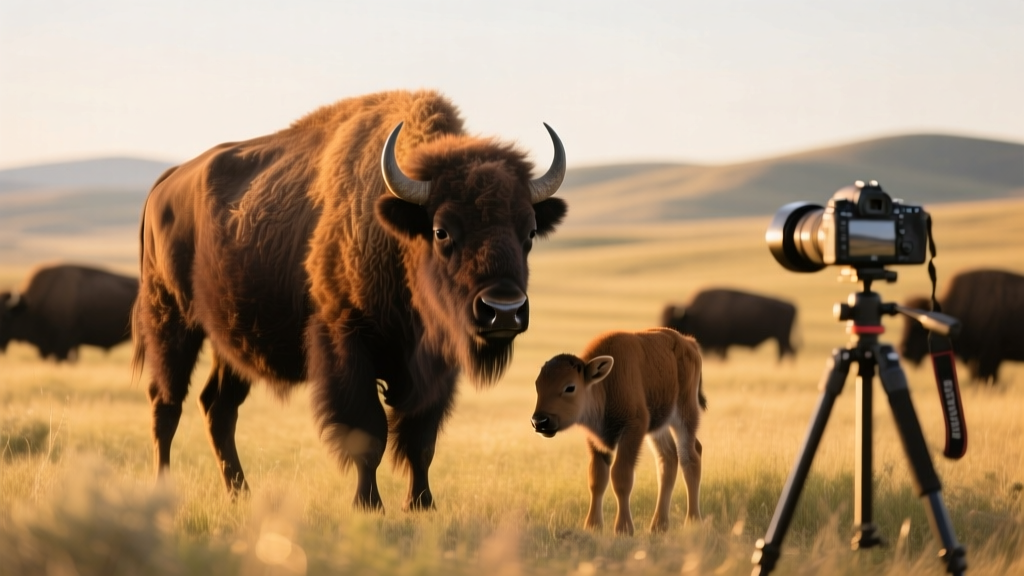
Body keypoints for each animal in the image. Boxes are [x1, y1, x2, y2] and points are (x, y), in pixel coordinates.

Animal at [132, 90, 567, 510]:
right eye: (442, 231)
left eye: (529, 232)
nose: (504, 311)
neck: (398, 235)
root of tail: (164, 185)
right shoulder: (348, 346)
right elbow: (369, 433)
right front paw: (368, 504)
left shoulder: (437, 368)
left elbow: (420, 440)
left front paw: (422, 504)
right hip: (172, 320)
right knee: (166, 404)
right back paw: (162, 489)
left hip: (232, 344)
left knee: (218, 408)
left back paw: (241, 494)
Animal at [531, 328, 706, 535]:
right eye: (537, 385)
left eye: (570, 387)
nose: (539, 421)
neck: (603, 386)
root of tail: (689, 343)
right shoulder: (595, 440)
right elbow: (597, 478)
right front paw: (593, 526)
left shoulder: (633, 429)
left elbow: (621, 476)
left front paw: (623, 528)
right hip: (659, 426)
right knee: (668, 458)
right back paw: (658, 526)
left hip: (684, 414)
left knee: (690, 457)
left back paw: (693, 521)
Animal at [661, 288, 797, 360]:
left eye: (673, 321)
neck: (695, 315)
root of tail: (791, 305)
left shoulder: (721, 344)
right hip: (780, 339)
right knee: (784, 352)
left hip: (782, 338)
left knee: (788, 352)